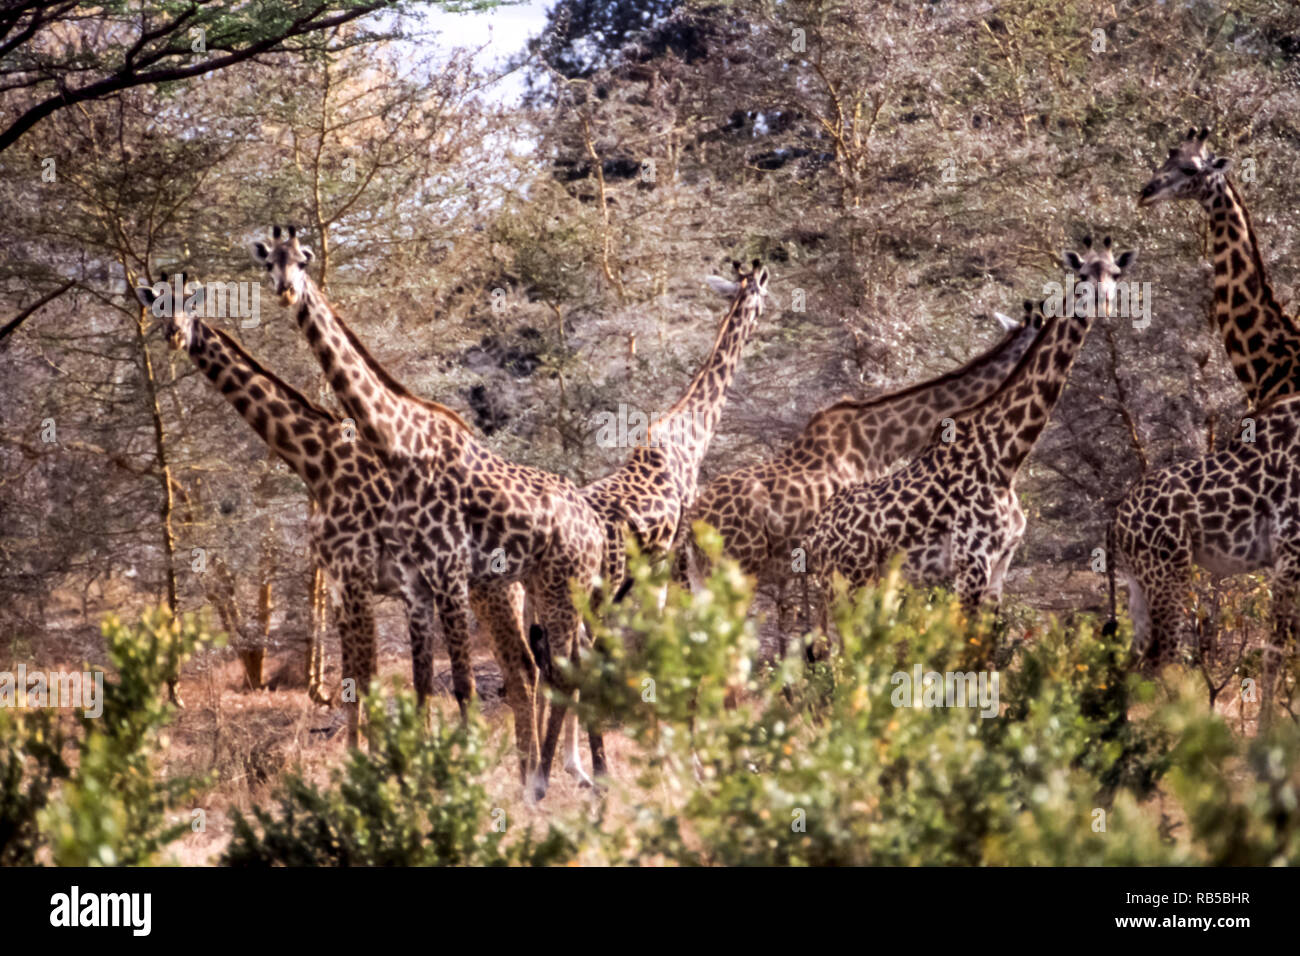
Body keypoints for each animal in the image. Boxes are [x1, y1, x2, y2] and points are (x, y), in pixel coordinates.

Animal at [252, 226, 603, 799]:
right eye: (269, 262)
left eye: (303, 260)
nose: (286, 290)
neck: (397, 444)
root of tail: (594, 523)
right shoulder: (418, 581)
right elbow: (424, 687)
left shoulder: (448, 571)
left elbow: (460, 686)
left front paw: (464, 781)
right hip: (543, 586)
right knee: (555, 669)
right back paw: (567, 776)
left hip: (561, 586)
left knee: (559, 671)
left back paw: (546, 781)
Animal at [807, 238, 1136, 616]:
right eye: (1081, 274)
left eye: (1116, 273)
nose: (1104, 302)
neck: (1007, 455)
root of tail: (814, 535)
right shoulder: (972, 561)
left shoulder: (1001, 563)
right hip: (849, 581)